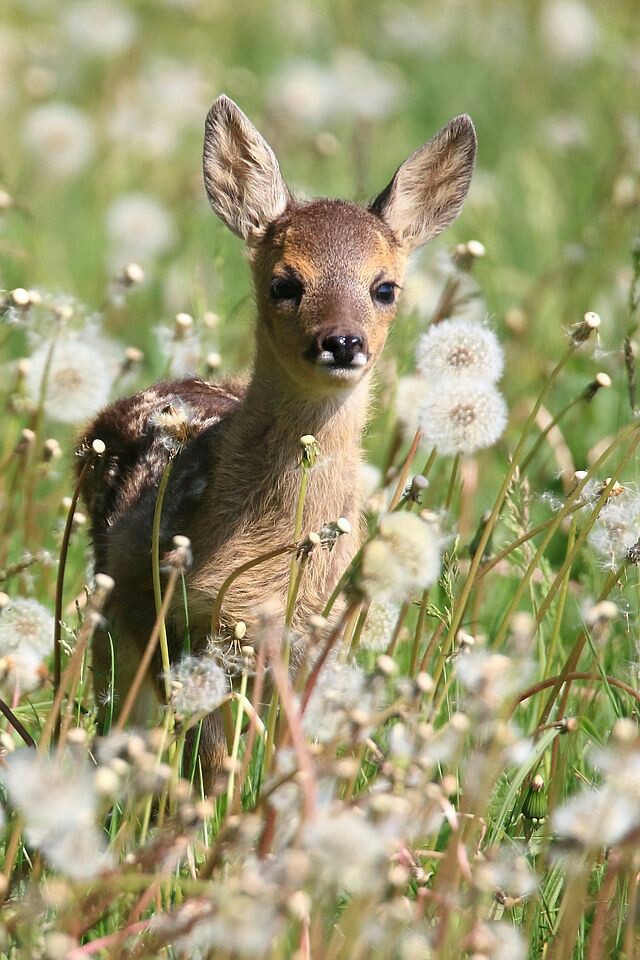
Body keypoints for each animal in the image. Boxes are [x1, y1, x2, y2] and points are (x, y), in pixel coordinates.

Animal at [77, 94, 476, 790]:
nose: (341, 341)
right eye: (285, 283)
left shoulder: (316, 632)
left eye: (385, 287)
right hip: (115, 607)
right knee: (117, 707)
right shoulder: (206, 619)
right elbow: (218, 761)